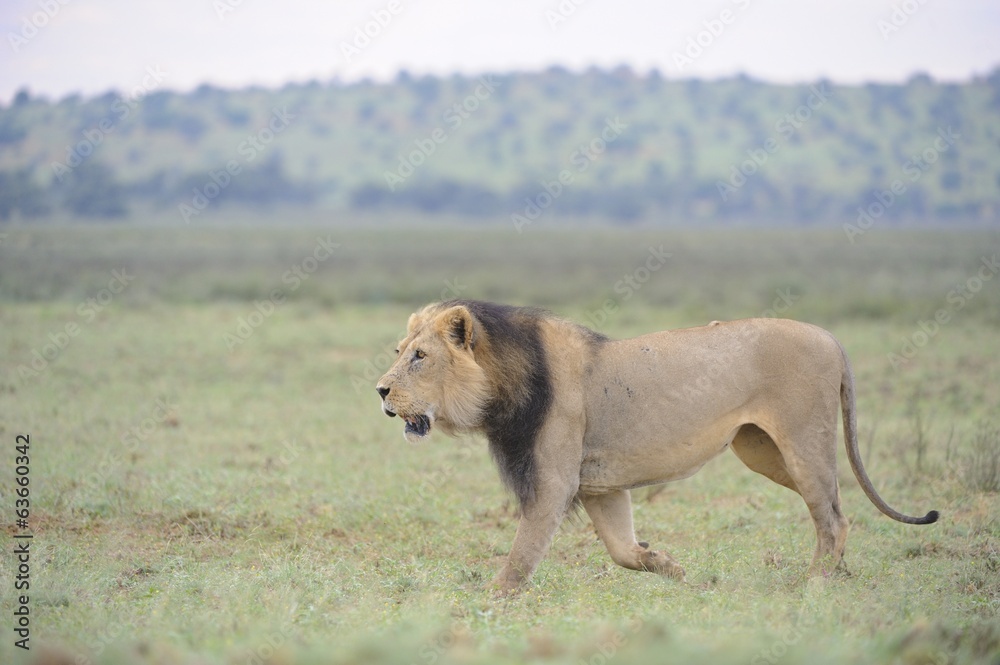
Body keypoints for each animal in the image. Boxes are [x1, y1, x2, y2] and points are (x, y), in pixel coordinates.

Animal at [376, 300, 938, 594]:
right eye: (400, 352)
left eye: (420, 357)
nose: (380, 390)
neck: (500, 386)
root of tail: (831, 337)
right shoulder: (599, 487)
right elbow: (622, 550)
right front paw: (667, 565)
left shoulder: (553, 483)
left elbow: (520, 556)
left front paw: (492, 600)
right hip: (763, 451)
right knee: (837, 509)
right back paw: (838, 573)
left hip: (803, 441)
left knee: (834, 517)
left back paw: (817, 582)